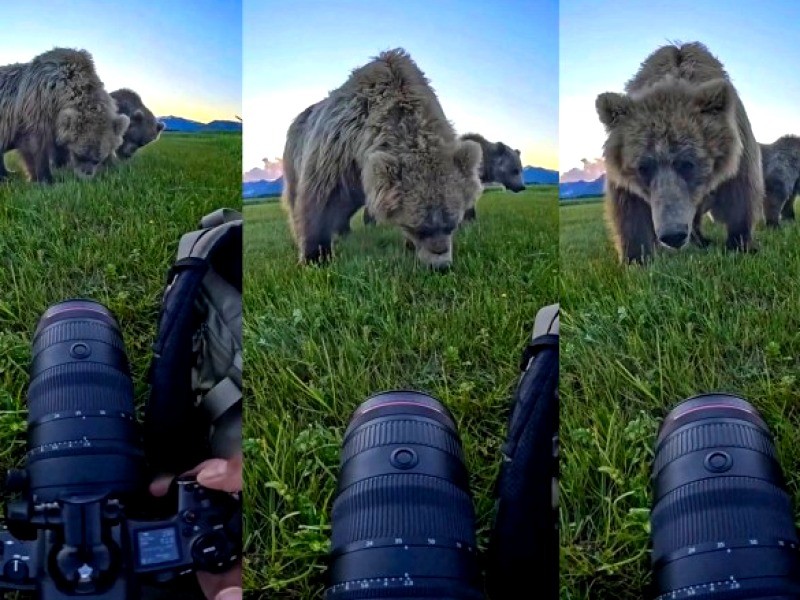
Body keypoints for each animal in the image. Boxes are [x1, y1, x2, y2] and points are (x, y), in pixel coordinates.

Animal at [0, 48, 129, 184]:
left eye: (97, 159)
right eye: (79, 155)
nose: (87, 174)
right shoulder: (35, 109)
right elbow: (35, 147)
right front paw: (45, 179)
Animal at [282, 48, 482, 269]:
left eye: (452, 224)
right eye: (419, 227)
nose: (441, 266)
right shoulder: (338, 151)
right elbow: (319, 200)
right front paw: (316, 256)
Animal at [595, 42, 763, 263]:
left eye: (687, 163)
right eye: (643, 167)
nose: (672, 235)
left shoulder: (739, 150)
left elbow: (741, 194)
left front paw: (739, 244)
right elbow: (629, 208)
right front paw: (637, 258)